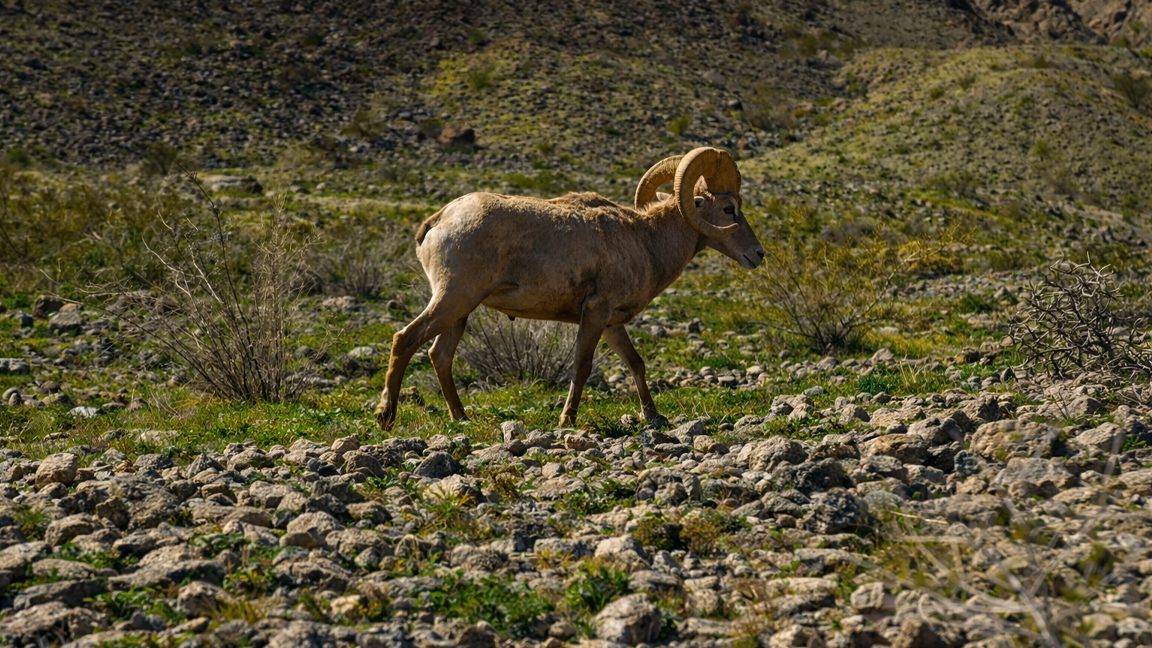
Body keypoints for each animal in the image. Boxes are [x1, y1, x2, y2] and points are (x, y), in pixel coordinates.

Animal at [374, 147, 765, 431]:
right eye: (728, 209)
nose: (758, 254)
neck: (647, 240)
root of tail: (438, 222)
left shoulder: (612, 324)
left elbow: (636, 364)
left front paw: (654, 416)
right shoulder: (595, 313)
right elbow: (582, 364)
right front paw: (567, 419)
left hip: (461, 311)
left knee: (440, 355)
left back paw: (461, 418)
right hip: (453, 299)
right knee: (405, 340)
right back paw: (385, 417)